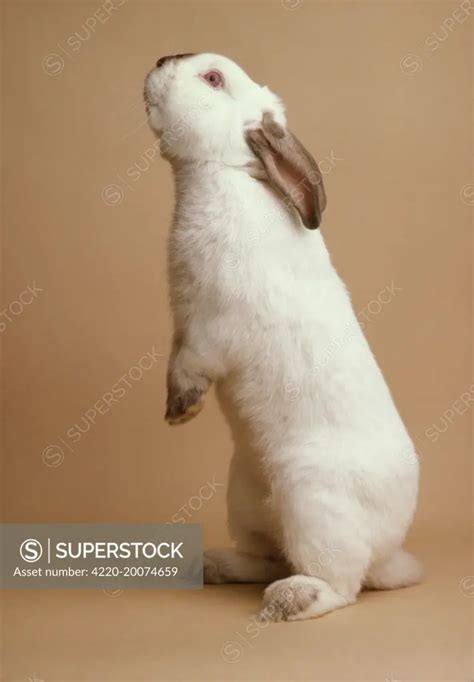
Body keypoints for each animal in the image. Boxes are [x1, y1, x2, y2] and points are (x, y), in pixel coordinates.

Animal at [144, 53, 423, 622]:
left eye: (212, 79)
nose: (160, 62)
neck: (222, 173)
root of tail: (389, 550)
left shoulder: (210, 329)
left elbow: (190, 364)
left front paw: (181, 411)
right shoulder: (186, 324)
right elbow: (176, 356)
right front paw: (177, 411)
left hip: (312, 503)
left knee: (341, 584)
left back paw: (289, 601)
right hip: (244, 497)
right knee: (269, 554)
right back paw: (216, 566)